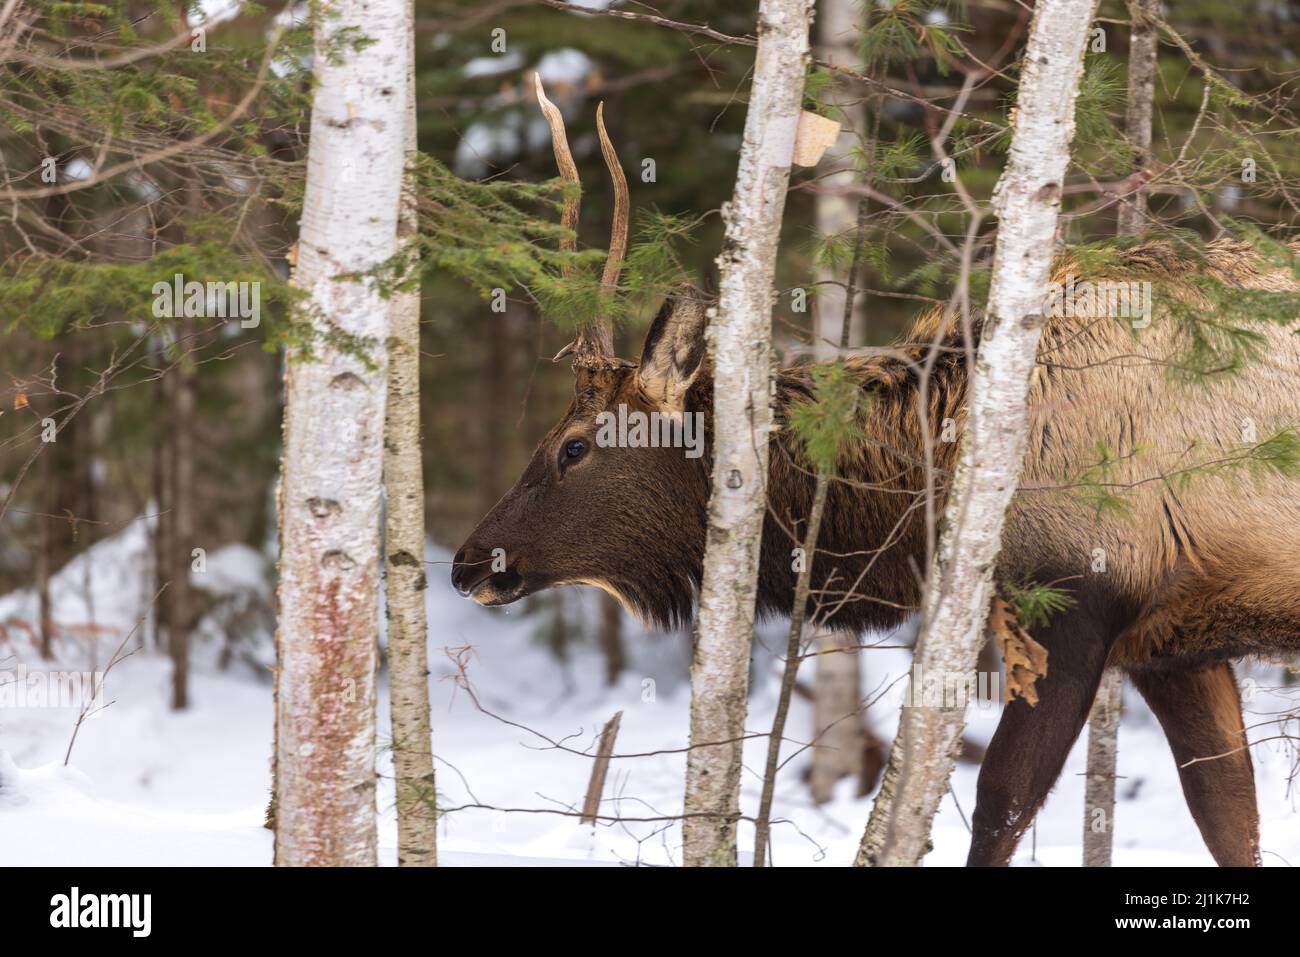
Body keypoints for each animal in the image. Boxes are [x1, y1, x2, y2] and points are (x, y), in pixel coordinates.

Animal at [451, 78, 1300, 866]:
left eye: (574, 446)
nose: (468, 563)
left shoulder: (1079, 598)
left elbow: (999, 800)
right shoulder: (1173, 640)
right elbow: (1230, 815)